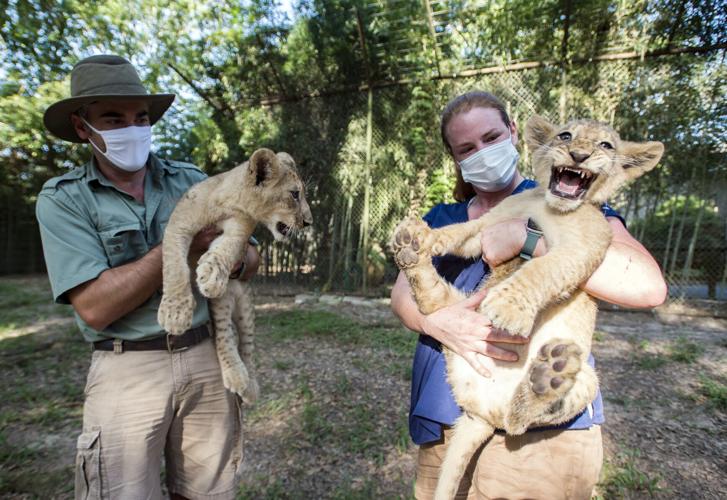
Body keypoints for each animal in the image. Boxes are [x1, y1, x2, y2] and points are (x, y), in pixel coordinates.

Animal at [158, 148, 312, 402]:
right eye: (294, 194)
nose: (309, 222)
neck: (226, 201)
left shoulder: (239, 229)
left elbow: (227, 249)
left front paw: (211, 274)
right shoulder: (178, 225)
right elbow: (174, 267)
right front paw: (175, 314)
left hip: (246, 309)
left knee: (245, 347)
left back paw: (247, 385)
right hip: (221, 305)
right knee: (224, 335)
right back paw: (236, 375)